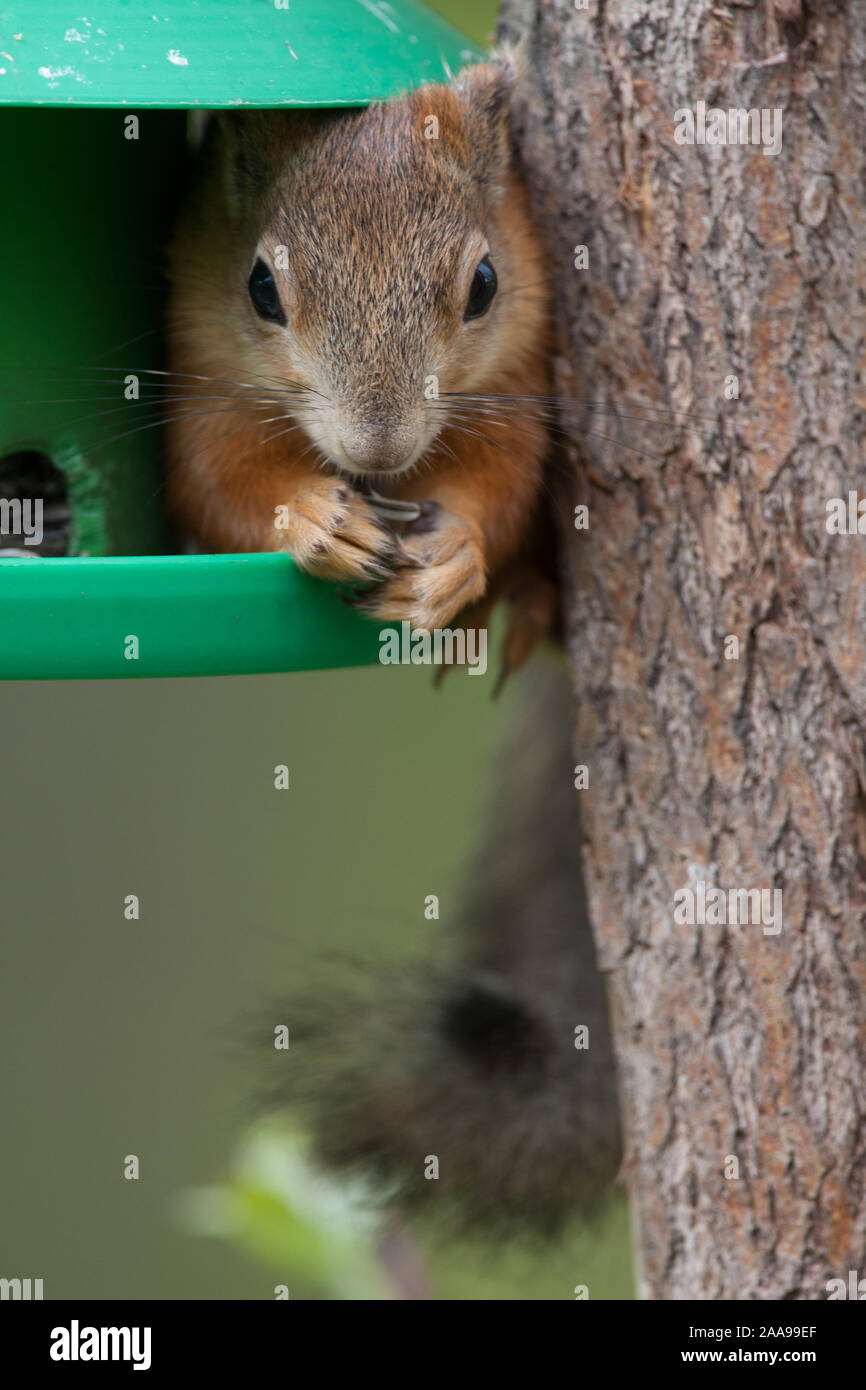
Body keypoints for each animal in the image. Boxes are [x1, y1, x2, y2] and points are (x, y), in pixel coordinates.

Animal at [165, 50, 557, 665]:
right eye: (261, 288)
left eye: (485, 285)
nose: (378, 453)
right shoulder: (208, 382)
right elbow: (215, 483)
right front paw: (317, 517)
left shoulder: (511, 385)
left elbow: (501, 487)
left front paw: (455, 552)